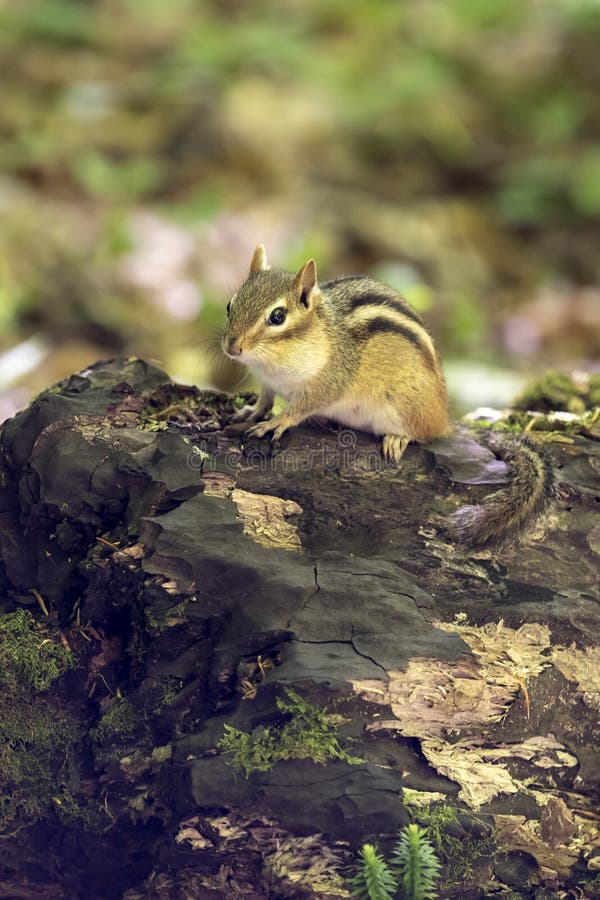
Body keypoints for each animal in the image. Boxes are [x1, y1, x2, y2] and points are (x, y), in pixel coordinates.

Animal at [222, 244, 556, 550]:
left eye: (277, 316)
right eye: (229, 305)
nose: (232, 347)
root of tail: (443, 419)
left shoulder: (329, 382)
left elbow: (300, 408)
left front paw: (275, 423)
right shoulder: (267, 381)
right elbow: (266, 398)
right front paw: (252, 411)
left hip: (402, 408)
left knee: (420, 432)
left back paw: (397, 437)